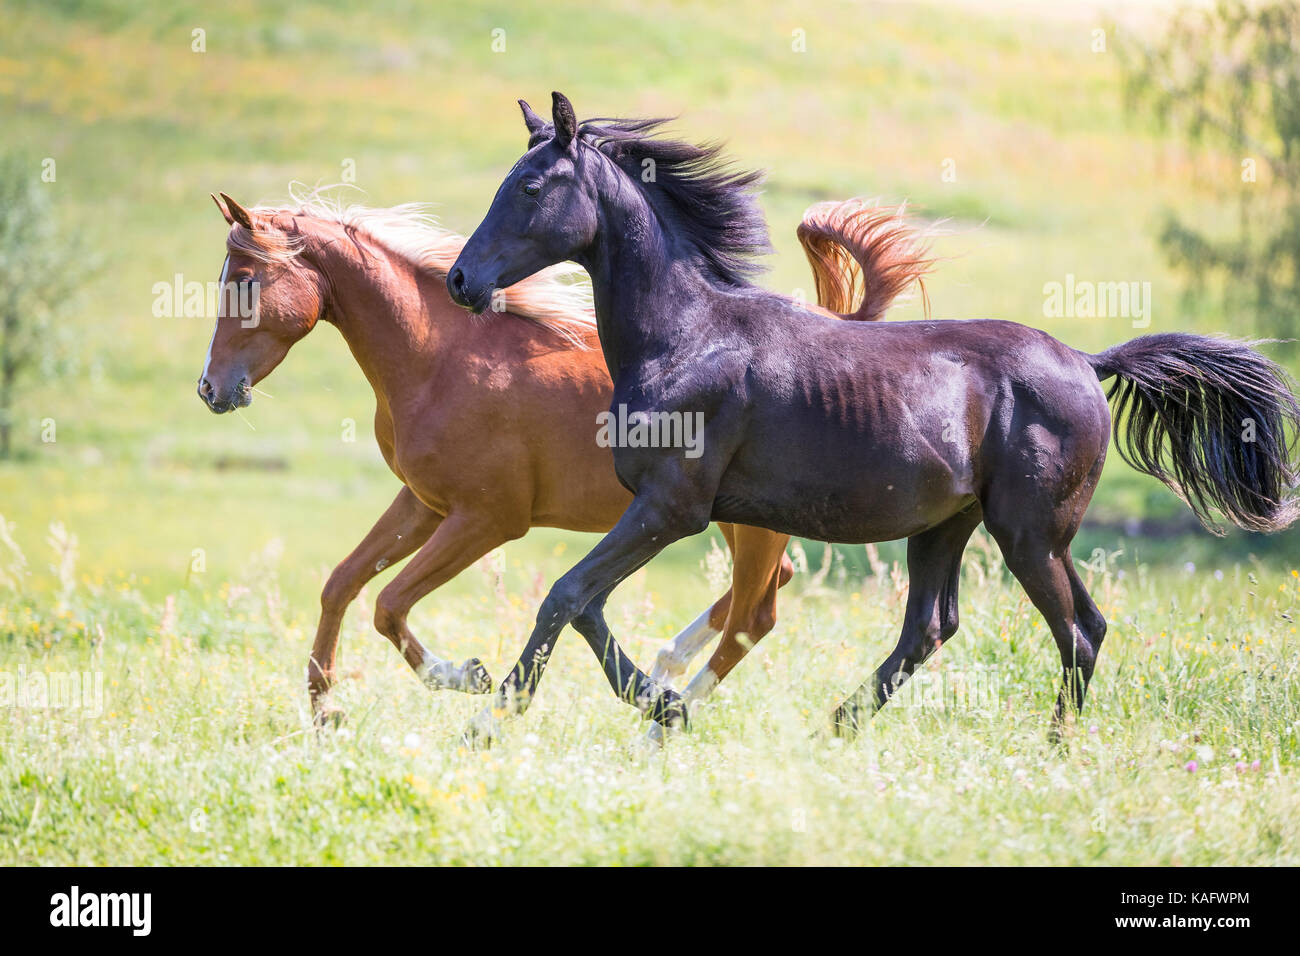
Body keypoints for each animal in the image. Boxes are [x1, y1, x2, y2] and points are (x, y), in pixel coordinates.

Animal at [197, 185, 934, 725]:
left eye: (246, 280)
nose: (210, 389)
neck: (441, 360)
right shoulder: (424, 504)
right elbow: (343, 584)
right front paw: (324, 711)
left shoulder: (488, 520)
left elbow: (389, 601)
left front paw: (466, 676)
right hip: (738, 518)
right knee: (762, 593)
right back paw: (665, 666)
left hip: (747, 524)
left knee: (758, 612)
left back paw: (669, 697)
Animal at [447, 92, 1300, 745]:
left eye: (532, 186)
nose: (460, 280)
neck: (687, 336)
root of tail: (1090, 363)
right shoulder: (660, 512)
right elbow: (588, 605)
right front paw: (663, 708)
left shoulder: (671, 508)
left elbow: (566, 595)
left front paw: (495, 721)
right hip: (947, 525)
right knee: (932, 628)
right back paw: (834, 729)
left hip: (1030, 532)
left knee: (1080, 630)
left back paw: (1055, 748)